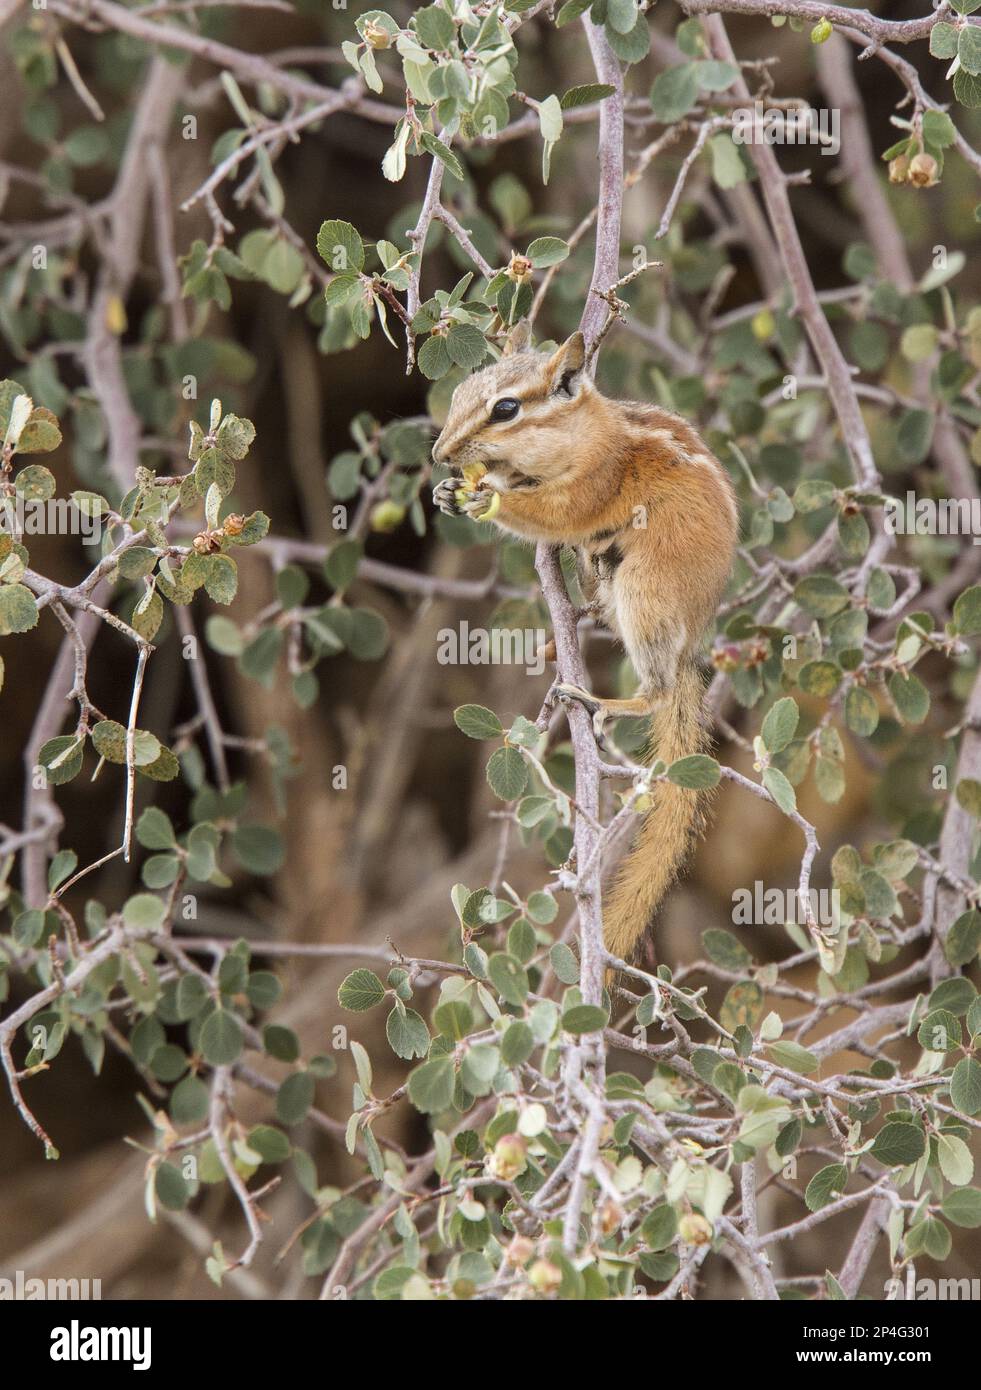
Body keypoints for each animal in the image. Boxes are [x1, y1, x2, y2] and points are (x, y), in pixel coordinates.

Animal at [432, 324, 738, 965]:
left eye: (506, 409)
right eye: (460, 393)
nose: (440, 454)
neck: (589, 432)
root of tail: (692, 640)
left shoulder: (592, 485)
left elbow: (553, 514)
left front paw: (489, 499)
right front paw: (451, 491)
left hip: (647, 591)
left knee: (657, 688)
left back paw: (600, 700)